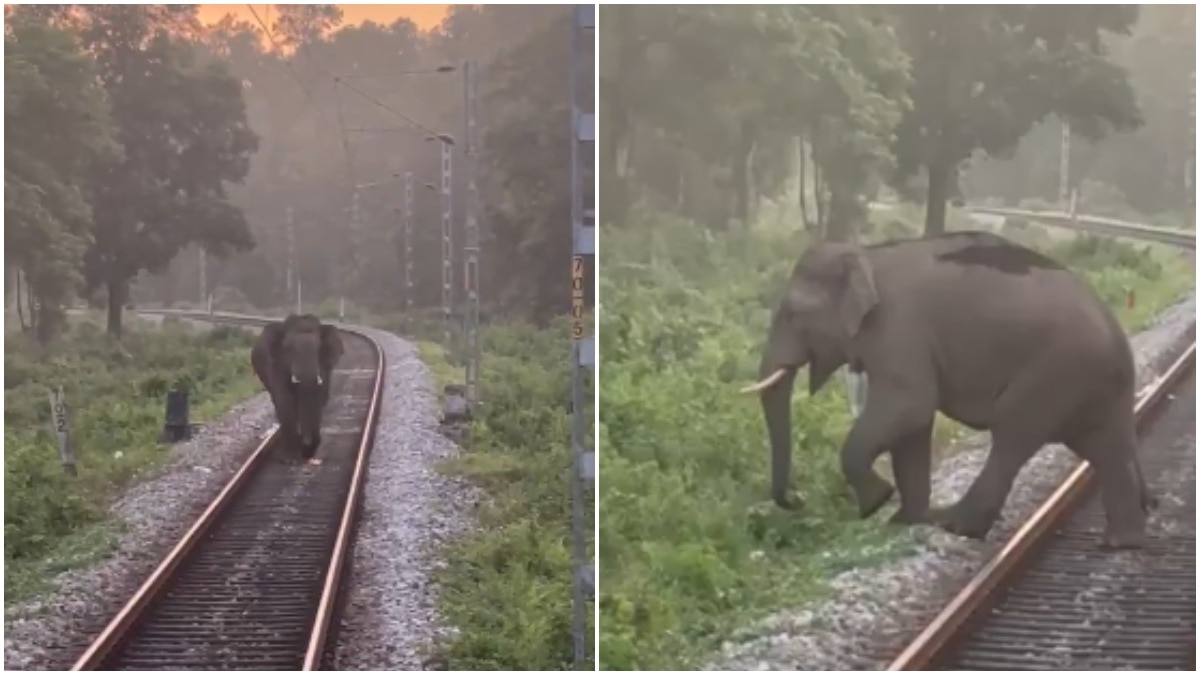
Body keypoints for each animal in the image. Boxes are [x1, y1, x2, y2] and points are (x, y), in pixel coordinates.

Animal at [251, 314, 344, 464]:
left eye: (319, 347)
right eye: (288, 348)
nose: (308, 449)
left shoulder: (324, 365)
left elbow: (319, 397)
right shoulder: (276, 365)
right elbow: (284, 400)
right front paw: (289, 459)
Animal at [741, 230, 1153, 549]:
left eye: (793, 314)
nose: (796, 500)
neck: (868, 253)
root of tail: (1116, 332)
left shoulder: (898, 328)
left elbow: (910, 406)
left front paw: (876, 503)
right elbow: (913, 428)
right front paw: (903, 520)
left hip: (1055, 372)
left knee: (1013, 435)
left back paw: (956, 526)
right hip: (1092, 384)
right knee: (1104, 446)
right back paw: (1122, 541)